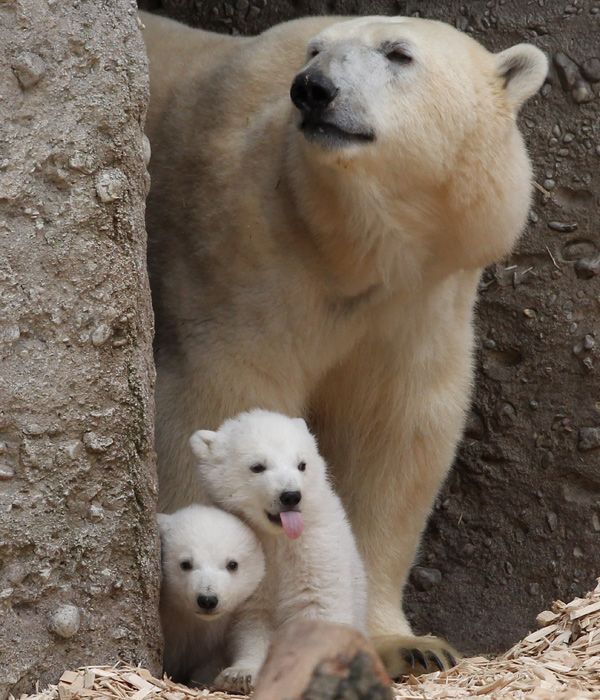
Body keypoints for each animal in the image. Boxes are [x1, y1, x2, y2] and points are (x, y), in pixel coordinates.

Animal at [157, 505, 267, 687]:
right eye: (185, 563)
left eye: (232, 564)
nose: (207, 600)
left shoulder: (241, 606)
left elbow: (251, 630)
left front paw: (238, 675)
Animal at [189, 410, 370, 690]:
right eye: (257, 466)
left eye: (302, 464)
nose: (291, 496)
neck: (280, 538)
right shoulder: (251, 563)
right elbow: (252, 620)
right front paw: (239, 674)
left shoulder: (318, 549)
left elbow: (319, 609)